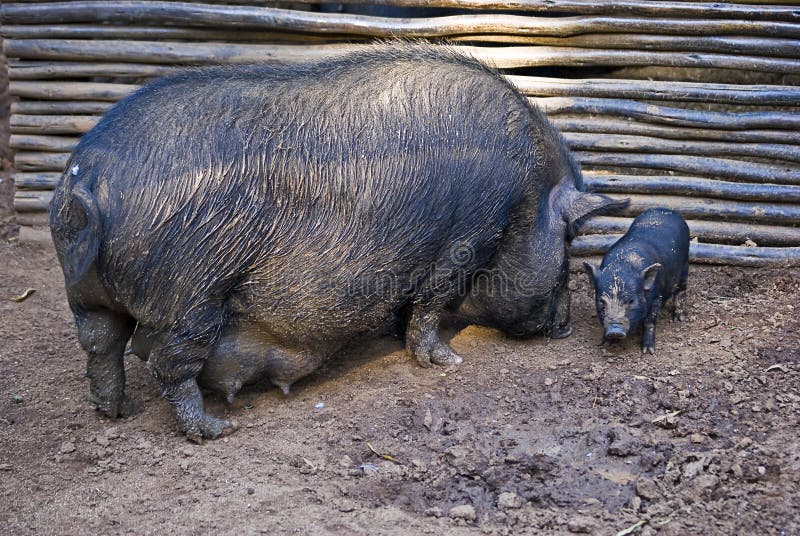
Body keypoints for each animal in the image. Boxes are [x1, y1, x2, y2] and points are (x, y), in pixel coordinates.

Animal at [50, 43, 624, 440]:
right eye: (570, 240)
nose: (565, 326)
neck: (525, 194)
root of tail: (85, 178)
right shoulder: (471, 231)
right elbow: (435, 297)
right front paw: (446, 363)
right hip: (191, 290)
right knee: (167, 362)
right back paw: (216, 430)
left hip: (88, 295)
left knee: (100, 344)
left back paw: (115, 412)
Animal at [583, 208, 690, 354]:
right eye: (602, 301)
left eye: (631, 301)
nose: (615, 331)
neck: (623, 264)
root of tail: (667, 210)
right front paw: (605, 344)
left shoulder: (656, 296)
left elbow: (650, 322)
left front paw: (648, 351)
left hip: (685, 266)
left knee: (681, 290)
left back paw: (679, 318)